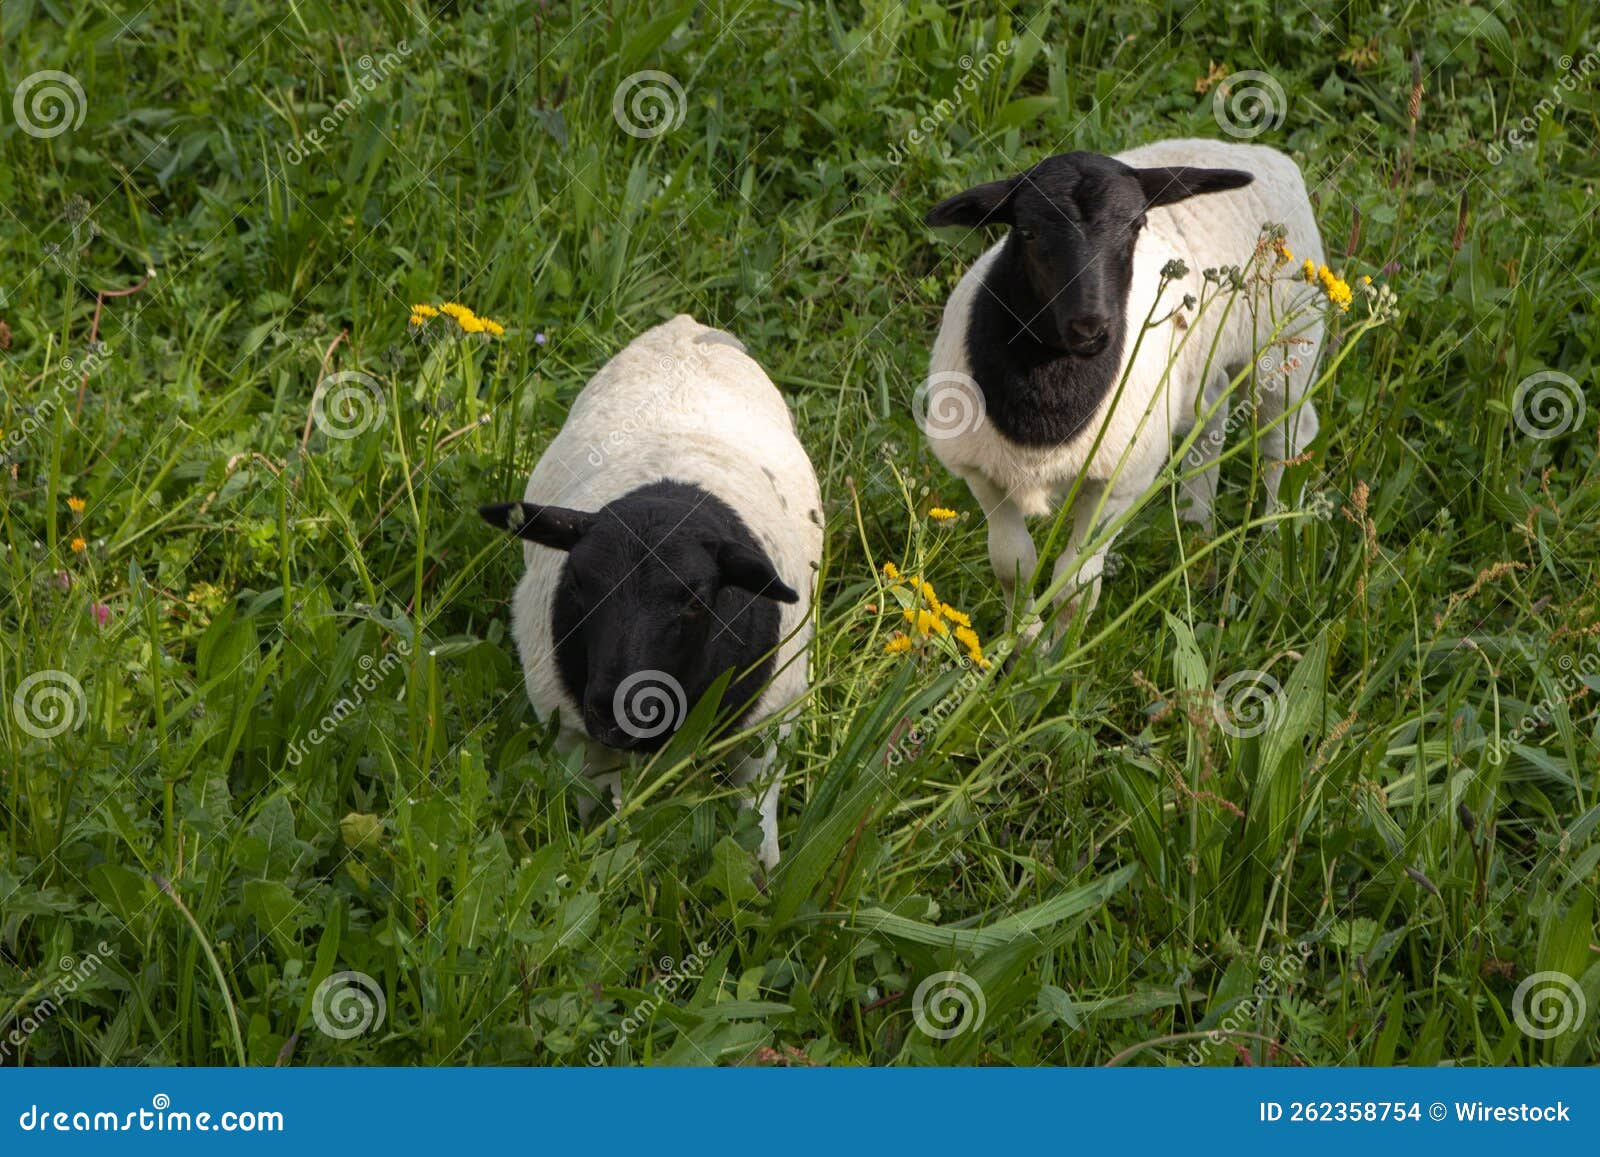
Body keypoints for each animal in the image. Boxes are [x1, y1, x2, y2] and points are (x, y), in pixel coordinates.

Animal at [479, 315, 823, 867]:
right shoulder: (575, 732)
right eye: (578, 583)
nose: (618, 708)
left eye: (696, 599)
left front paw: (765, 873)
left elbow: (757, 812)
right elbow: (599, 809)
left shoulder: (769, 723)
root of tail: (685, 325)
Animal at [921, 138, 1325, 639]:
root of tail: (1257, 152)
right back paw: (1195, 526)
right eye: (1028, 232)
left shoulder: (1115, 484)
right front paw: (1020, 641)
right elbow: (1013, 565)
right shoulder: (982, 473)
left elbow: (1075, 585)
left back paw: (1274, 539)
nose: (1091, 327)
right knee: (1210, 420)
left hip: (1288, 343)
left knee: (1284, 438)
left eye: (1136, 227)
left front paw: (1056, 653)